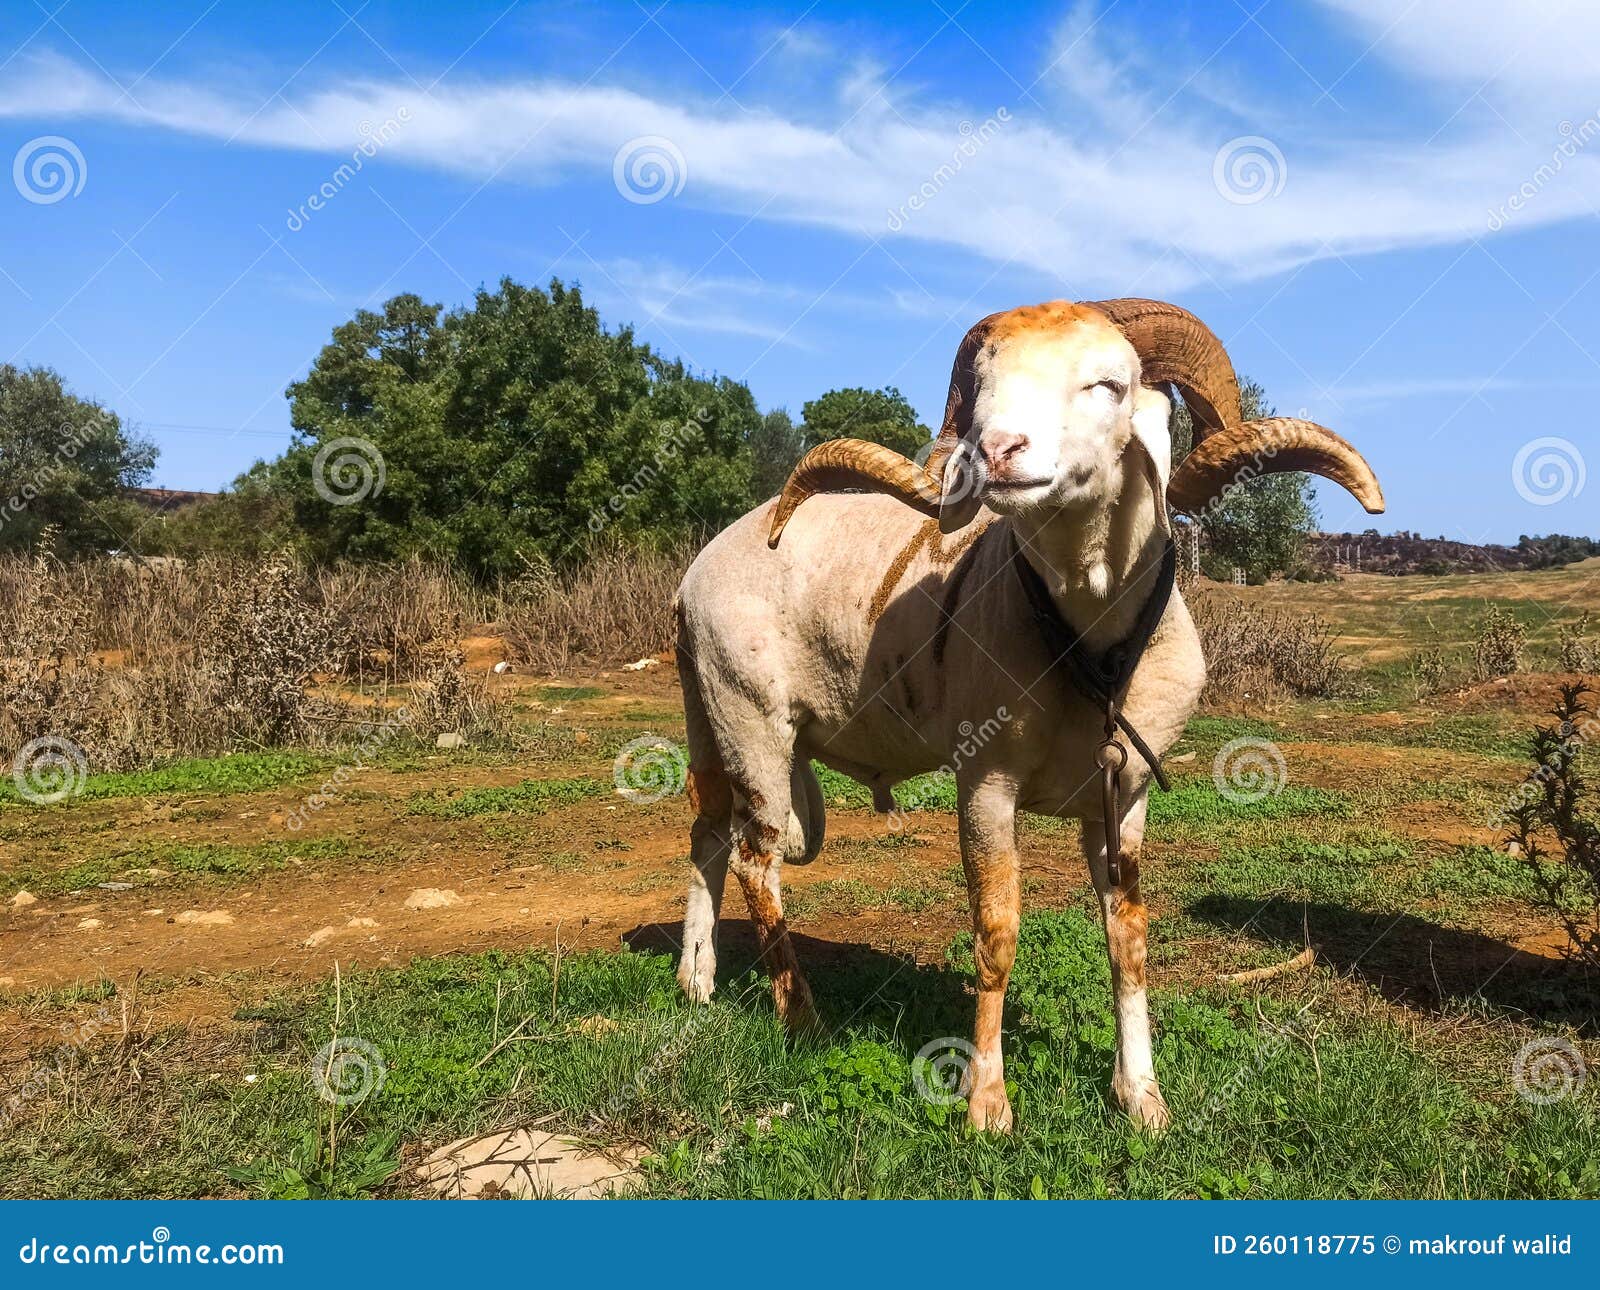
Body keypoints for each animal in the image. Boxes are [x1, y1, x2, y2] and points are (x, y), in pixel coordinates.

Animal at [672, 298, 1384, 1132]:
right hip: (753, 725)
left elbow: (1128, 936)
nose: (996, 450)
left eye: (1109, 383)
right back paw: (802, 1019)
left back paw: (696, 982)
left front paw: (1142, 1099)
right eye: (981, 389)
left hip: (711, 721)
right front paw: (987, 1105)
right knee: (757, 863)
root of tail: (698, 570)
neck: (1089, 648)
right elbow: (997, 935)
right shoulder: (987, 784)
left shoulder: (1123, 797)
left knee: (706, 837)